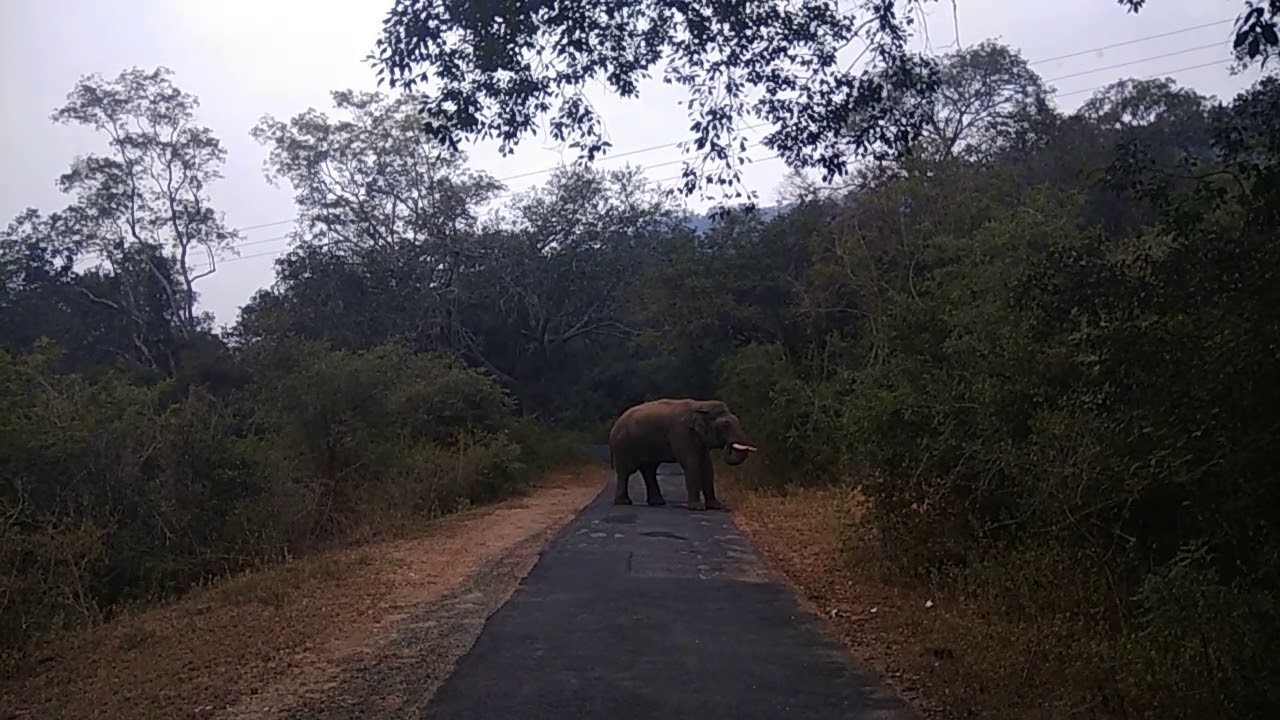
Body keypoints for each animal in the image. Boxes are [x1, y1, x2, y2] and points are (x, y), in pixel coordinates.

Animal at [608, 398, 757, 511]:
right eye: (725, 425)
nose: (728, 445)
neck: (700, 405)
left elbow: (707, 466)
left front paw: (716, 506)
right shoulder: (681, 433)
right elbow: (691, 464)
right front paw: (697, 508)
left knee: (649, 470)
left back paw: (658, 503)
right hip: (622, 445)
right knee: (626, 471)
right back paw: (624, 502)